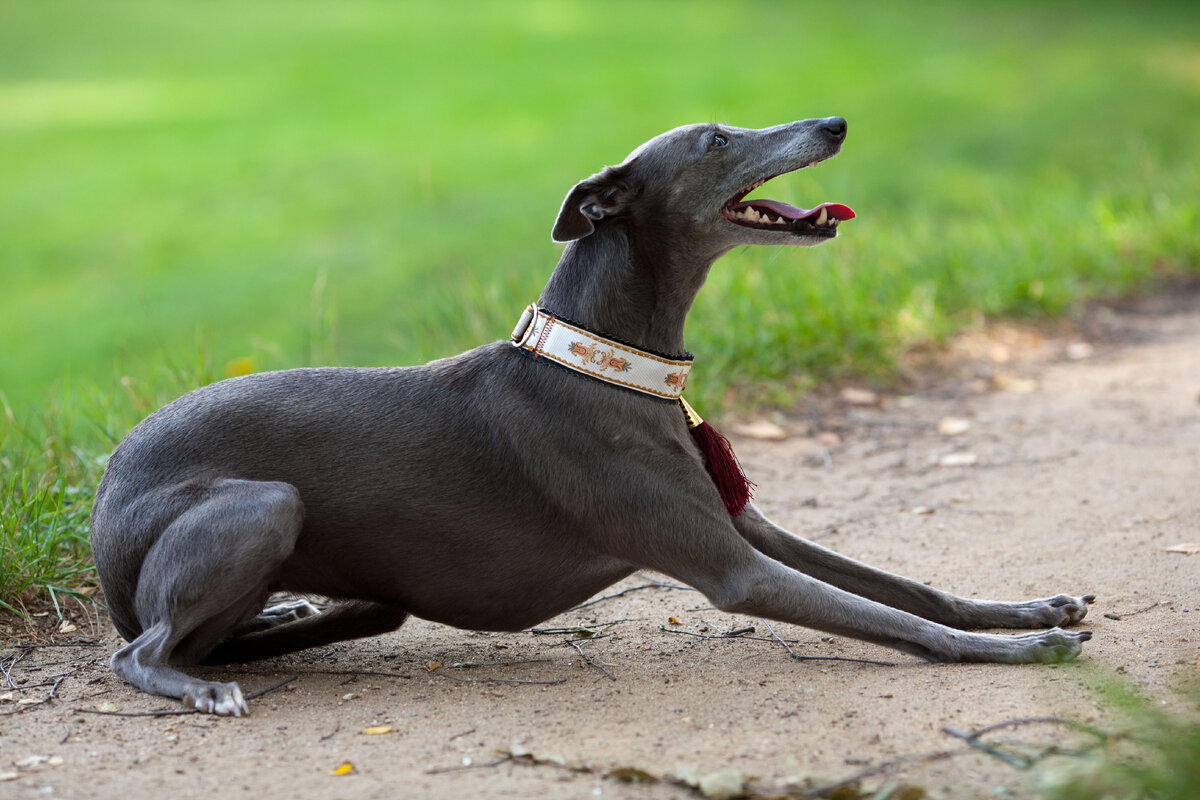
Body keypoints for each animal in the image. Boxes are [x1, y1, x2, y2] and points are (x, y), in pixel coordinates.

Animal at [88, 115, 1094, 714]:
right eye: (718, 140)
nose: (834, 122)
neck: (609, 369)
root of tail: (101, 519)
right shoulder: (733, 567)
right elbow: (899, 620)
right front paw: (1027, 647)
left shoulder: (744, 523)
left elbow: (910, 588)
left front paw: (1028, 607)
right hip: (263, 504)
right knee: (141, 651)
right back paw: (192, 684)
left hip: (349, 587)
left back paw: (284, 614)